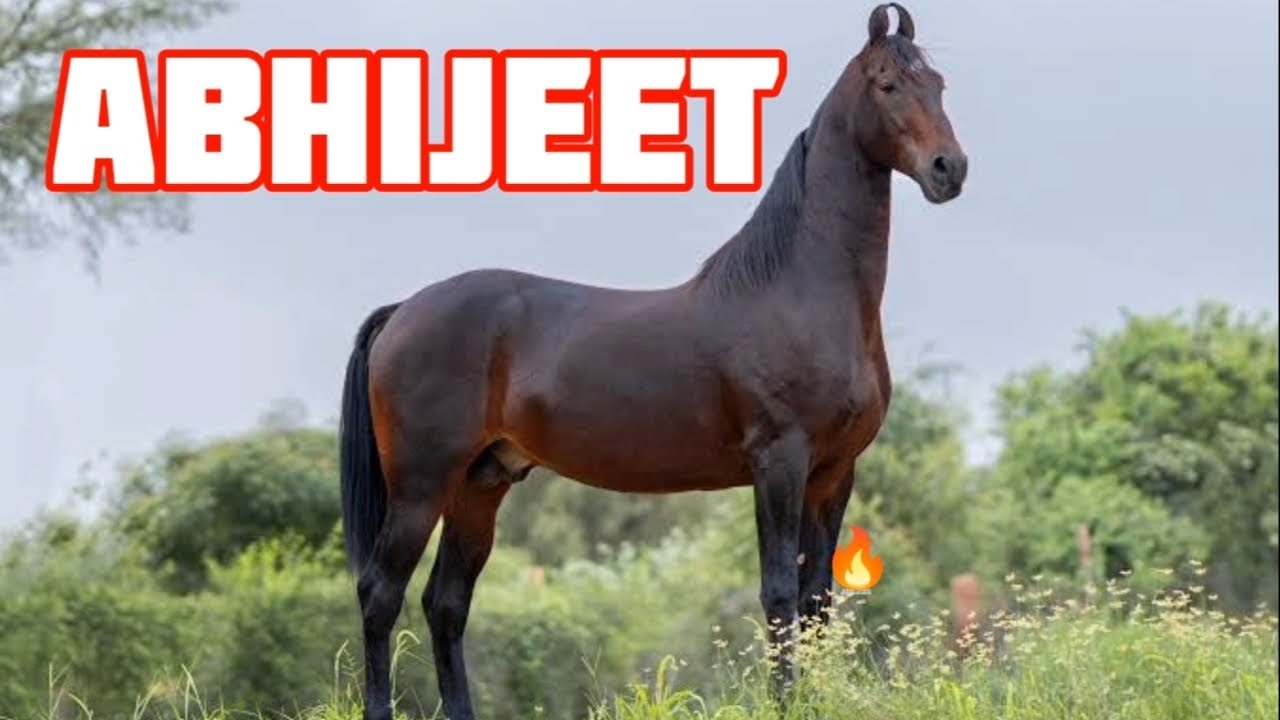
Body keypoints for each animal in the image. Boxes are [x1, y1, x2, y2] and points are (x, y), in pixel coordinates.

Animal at [339, 4, 966, 718]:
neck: (800, 290)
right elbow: (779, 593)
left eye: (938, 84)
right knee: (381, 596)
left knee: (445, 604)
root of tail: (404, 310)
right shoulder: (780, 462)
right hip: (421, 484)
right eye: (888, 84)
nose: (949, 169)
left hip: (481, 483)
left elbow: (814, 603)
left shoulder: (834, 472)